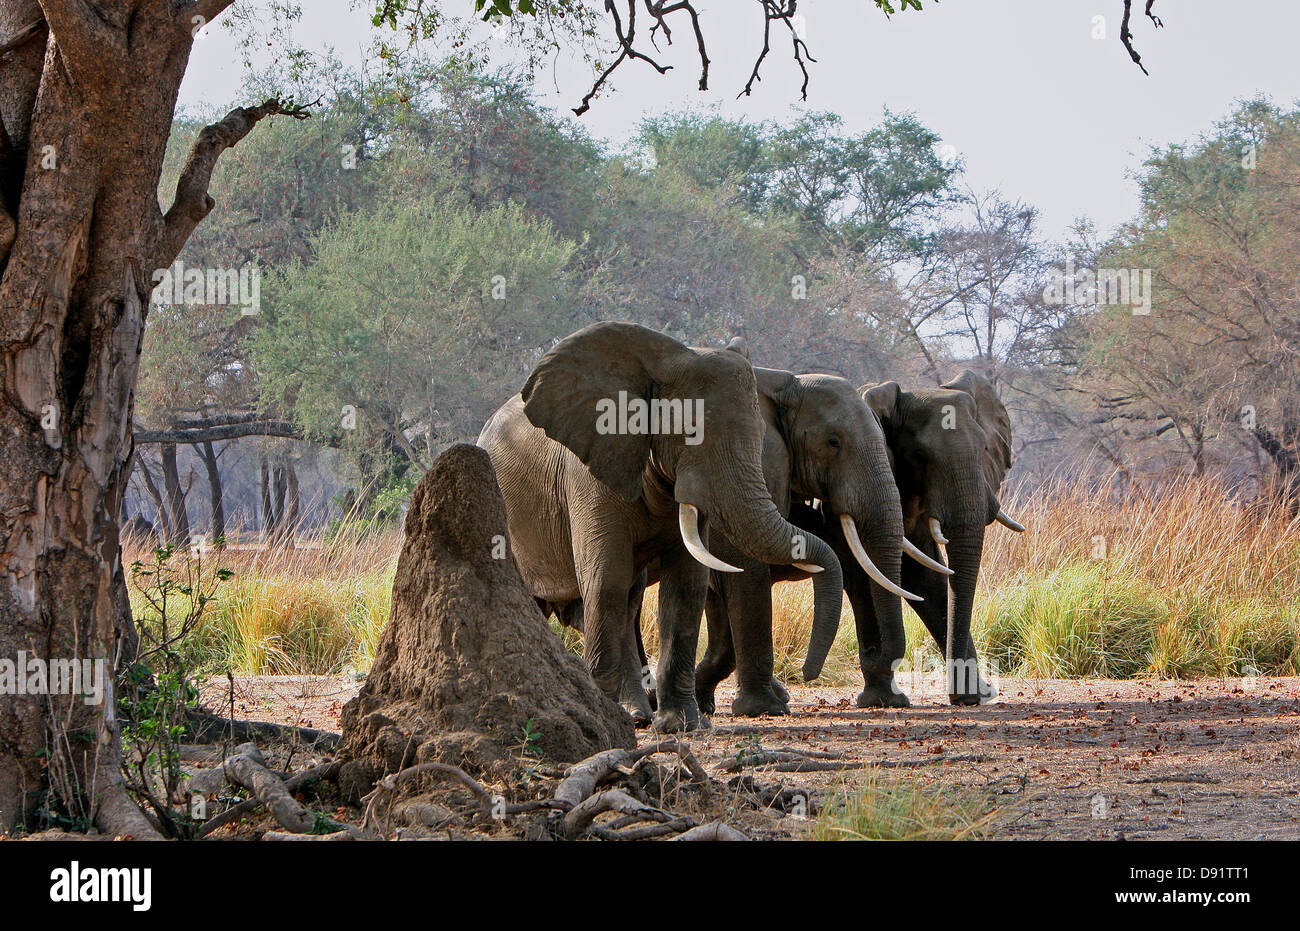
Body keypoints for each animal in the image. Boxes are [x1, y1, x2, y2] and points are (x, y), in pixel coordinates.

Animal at [477, 322, 847, 733]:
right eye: (691, 432)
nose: (809, 672)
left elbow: (686, 587)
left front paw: (682, 726)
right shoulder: (590, 474)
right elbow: (606, 579)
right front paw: (607, 721)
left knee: (631, 598)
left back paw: (637, 714)